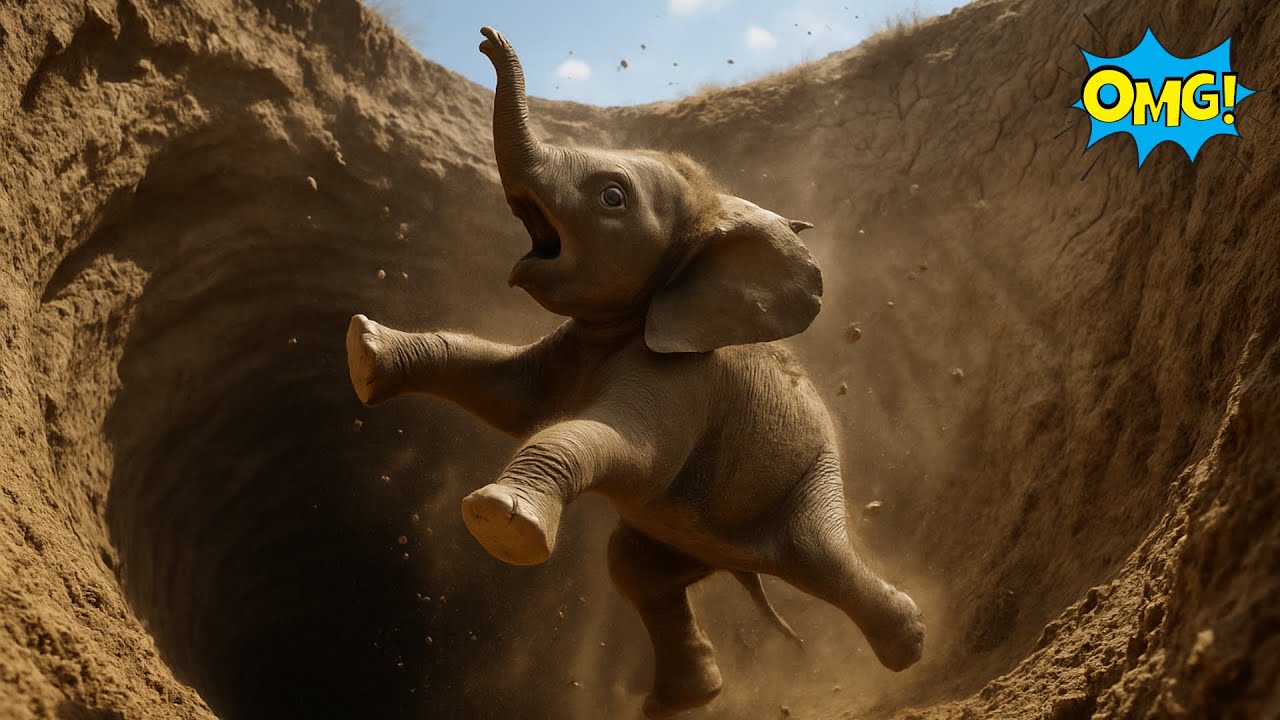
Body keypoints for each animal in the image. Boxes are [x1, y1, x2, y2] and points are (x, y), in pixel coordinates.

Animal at [344, 26, 924, 717]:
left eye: (612, 197)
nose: (488, 37)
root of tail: (738, 565)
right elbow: (508, 393)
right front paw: (365, 349)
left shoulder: (684, 381)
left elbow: (627, 449)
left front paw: (499, 520)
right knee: (636, 567)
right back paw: (684, 700)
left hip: (810, 475)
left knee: (820, 557)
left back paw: (910, 646)